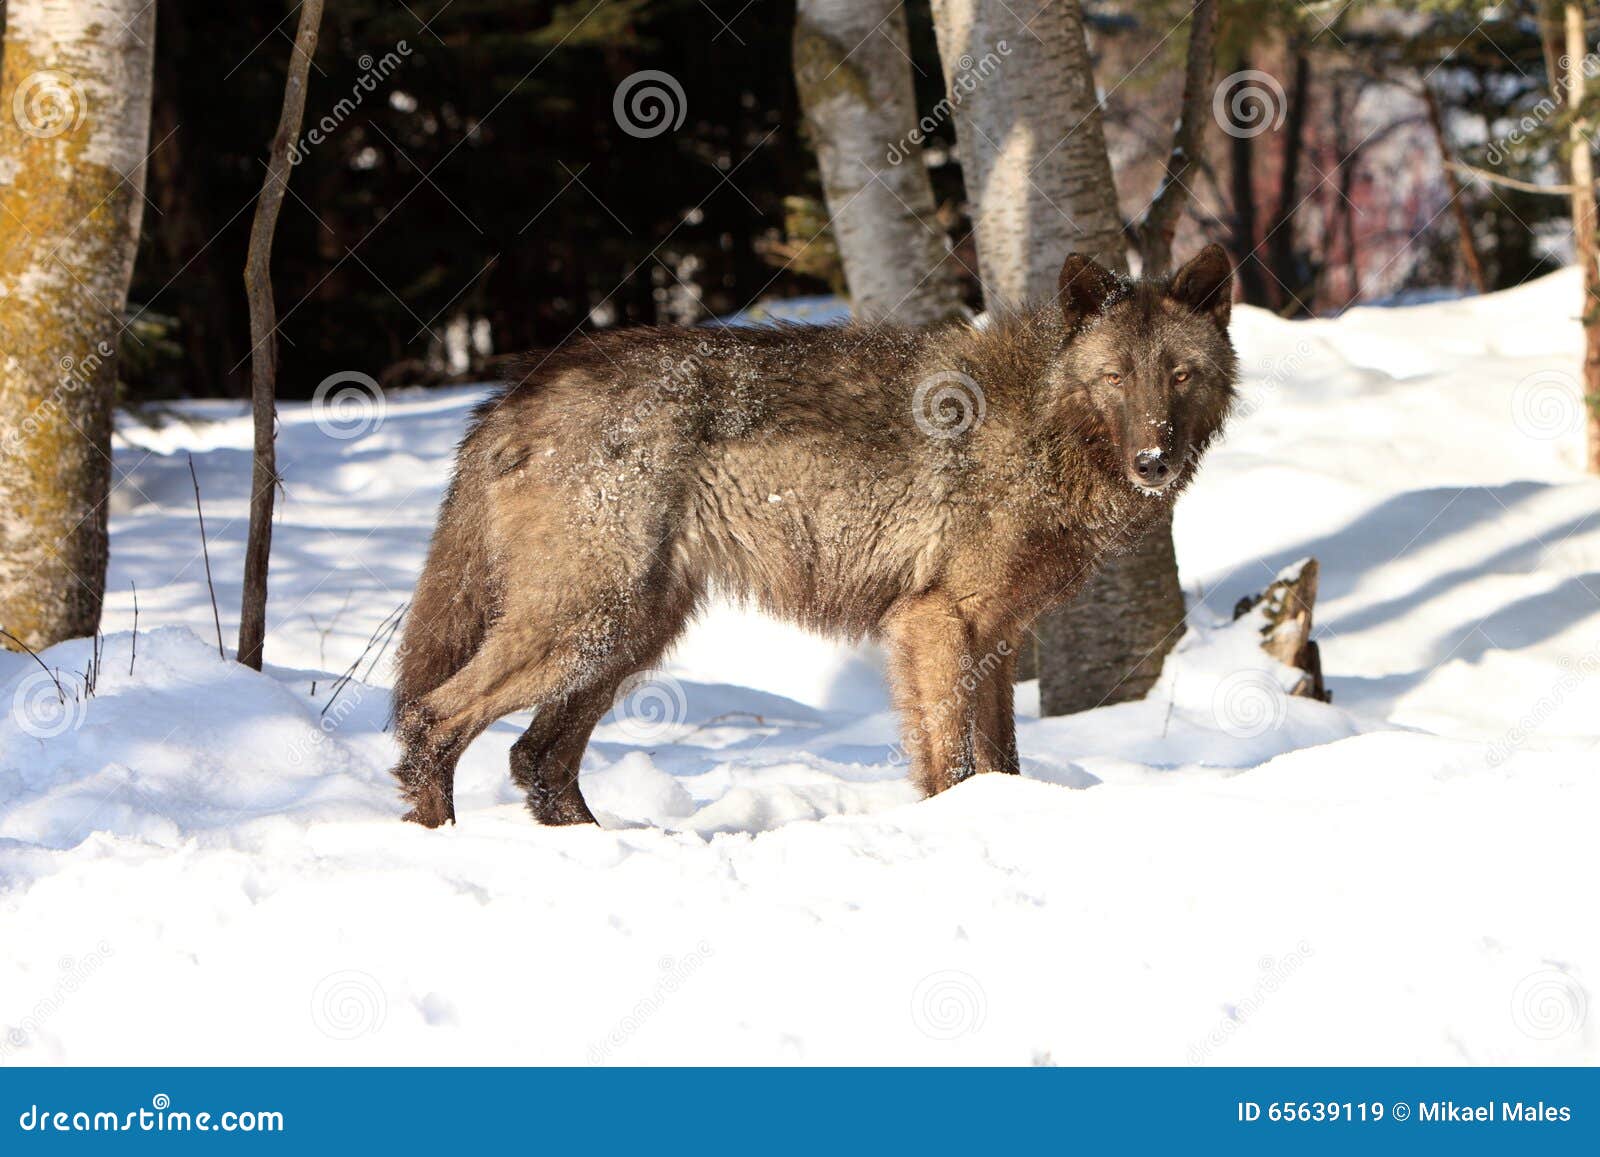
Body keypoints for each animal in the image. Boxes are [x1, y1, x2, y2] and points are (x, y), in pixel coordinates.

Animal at [390, 245, 1238, 827]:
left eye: (1179, 375)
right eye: (1115, 377)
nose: (1154, 462)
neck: (1044, 423)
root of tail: (512, 394)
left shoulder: (994, 639)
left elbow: (1003, 761)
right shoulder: (935, 623)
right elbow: (955, 763)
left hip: (628, 635)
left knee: (535, 757)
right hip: (590, 625)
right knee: (434, 719)